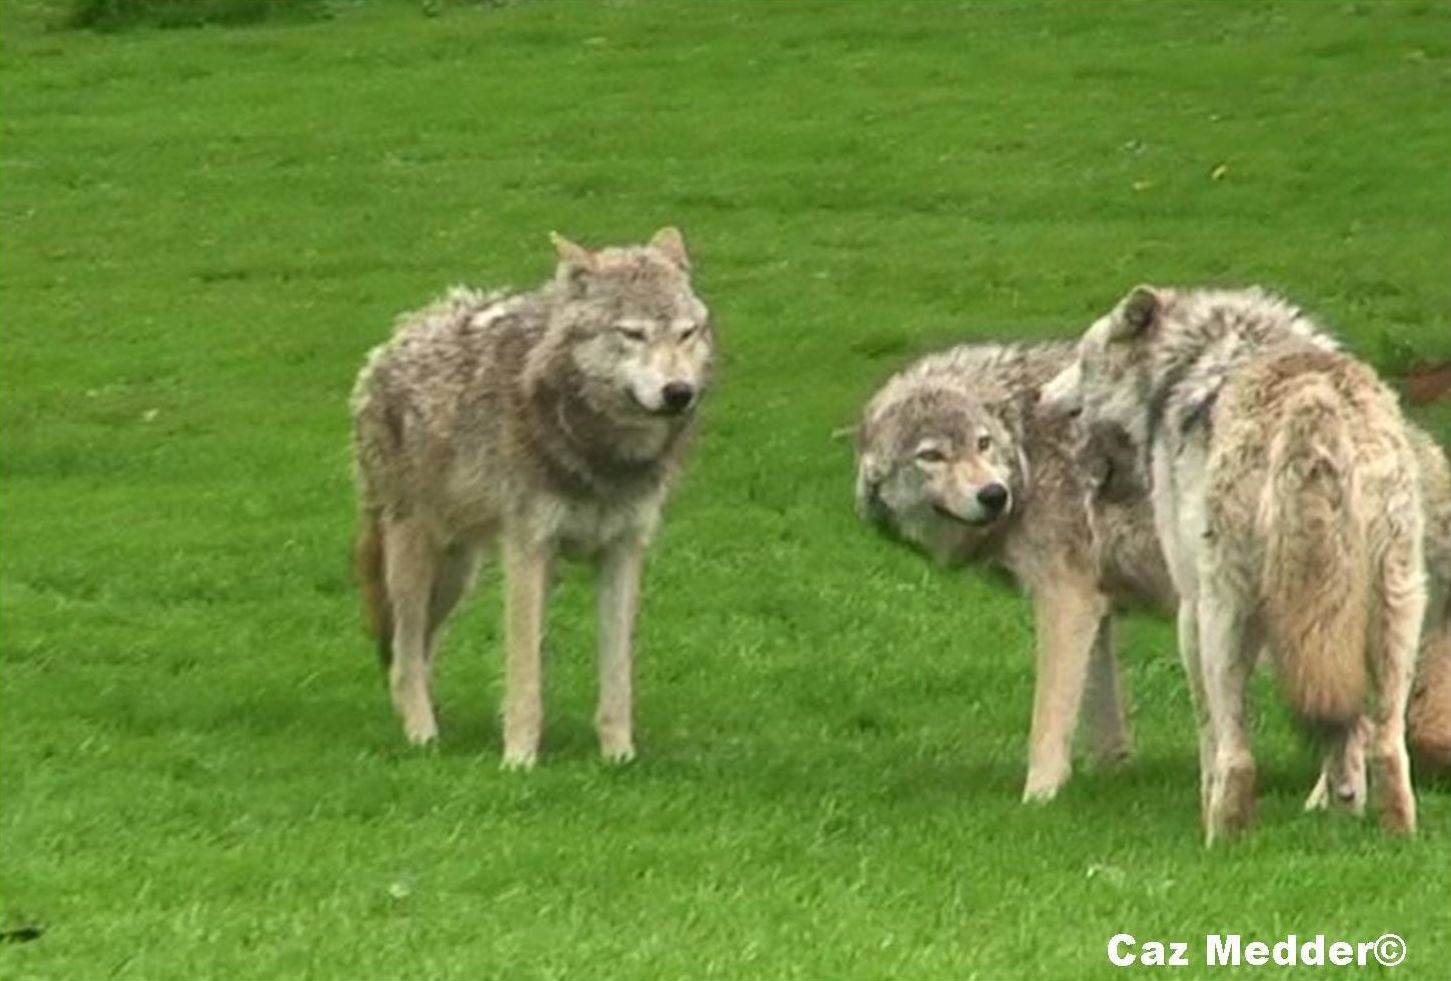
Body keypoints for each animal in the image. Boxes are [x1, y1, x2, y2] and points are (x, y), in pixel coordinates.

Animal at [350, 228, 713, 767]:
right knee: (404, 656)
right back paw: (423, 737)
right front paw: (518, 761)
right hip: (416, 558)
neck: (601, 453)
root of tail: (395, 341)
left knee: (415, 650)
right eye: (632, 334)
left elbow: (617, 679)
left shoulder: (623, 552)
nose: (679, 392)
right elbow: (525, 676)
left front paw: (619, 757)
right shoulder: (528, 550)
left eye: (687, 334)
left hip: (459, 572)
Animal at [1041, 286, 1427, 842]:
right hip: (1395, 615)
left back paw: (1220, 837)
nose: (1040, 398)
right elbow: (1344, 741)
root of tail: (1313, 399)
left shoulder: (1189, 611)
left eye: (1082, 359)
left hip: (1225, 616)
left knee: (1238, 755)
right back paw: (1396, 833)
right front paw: (1342, 806)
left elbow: (1209, 736)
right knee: (1385, 742)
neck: (1194, 355)